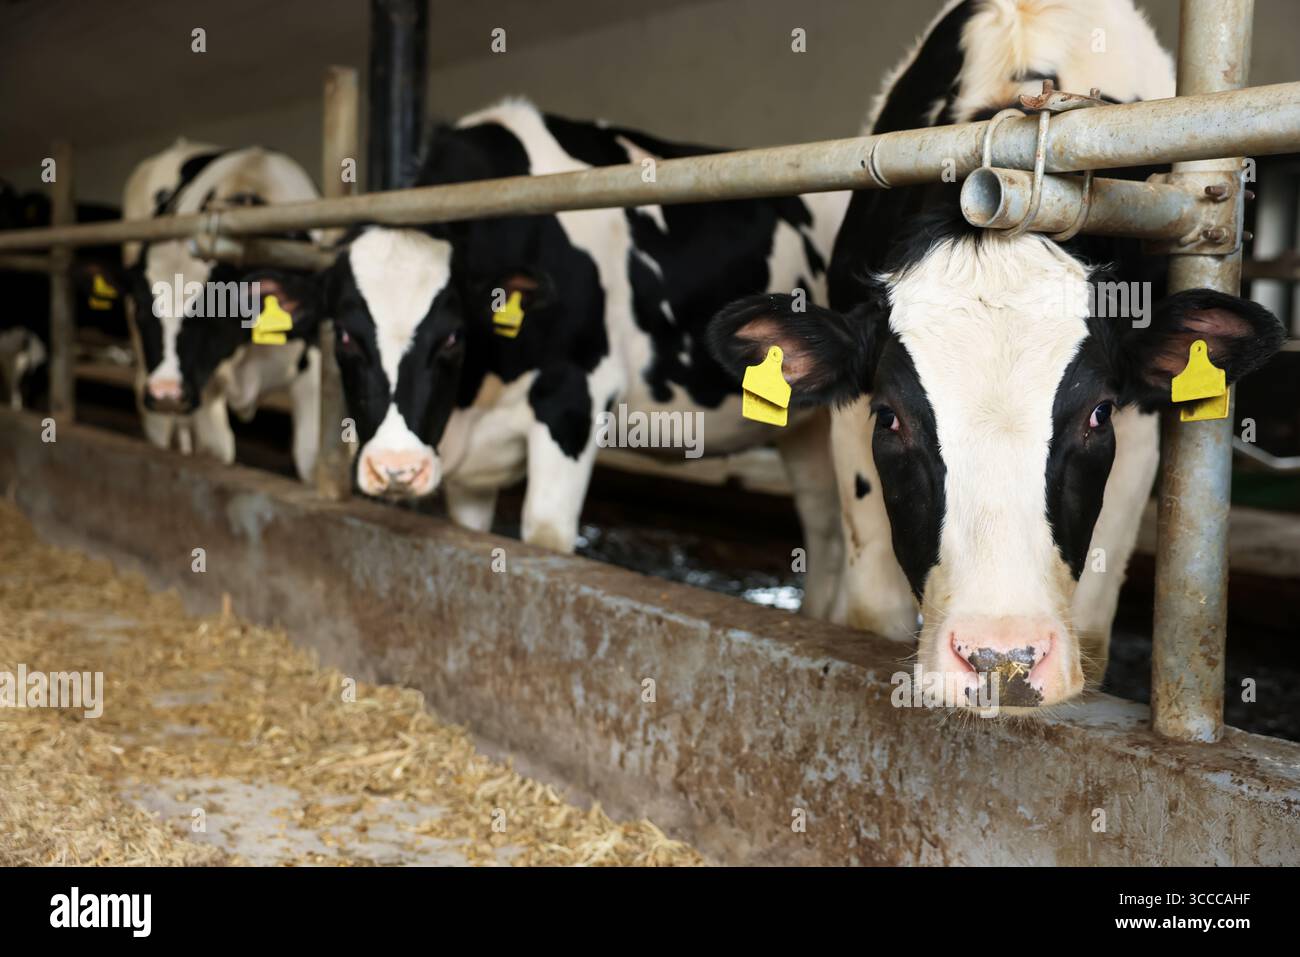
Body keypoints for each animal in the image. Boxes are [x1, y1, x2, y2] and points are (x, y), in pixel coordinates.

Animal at [121, 139, 322, 480]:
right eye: (141, 308)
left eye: (215, 308)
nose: (166, 393)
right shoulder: (204, 385)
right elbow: (218, 452)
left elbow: (310, 456)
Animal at [250, 100, 851, 618]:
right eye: (345, 337)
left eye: (452, 338)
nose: (397, 468)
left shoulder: (572, 399)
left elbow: (544, 534)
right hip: (802, 429)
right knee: (823, 524)